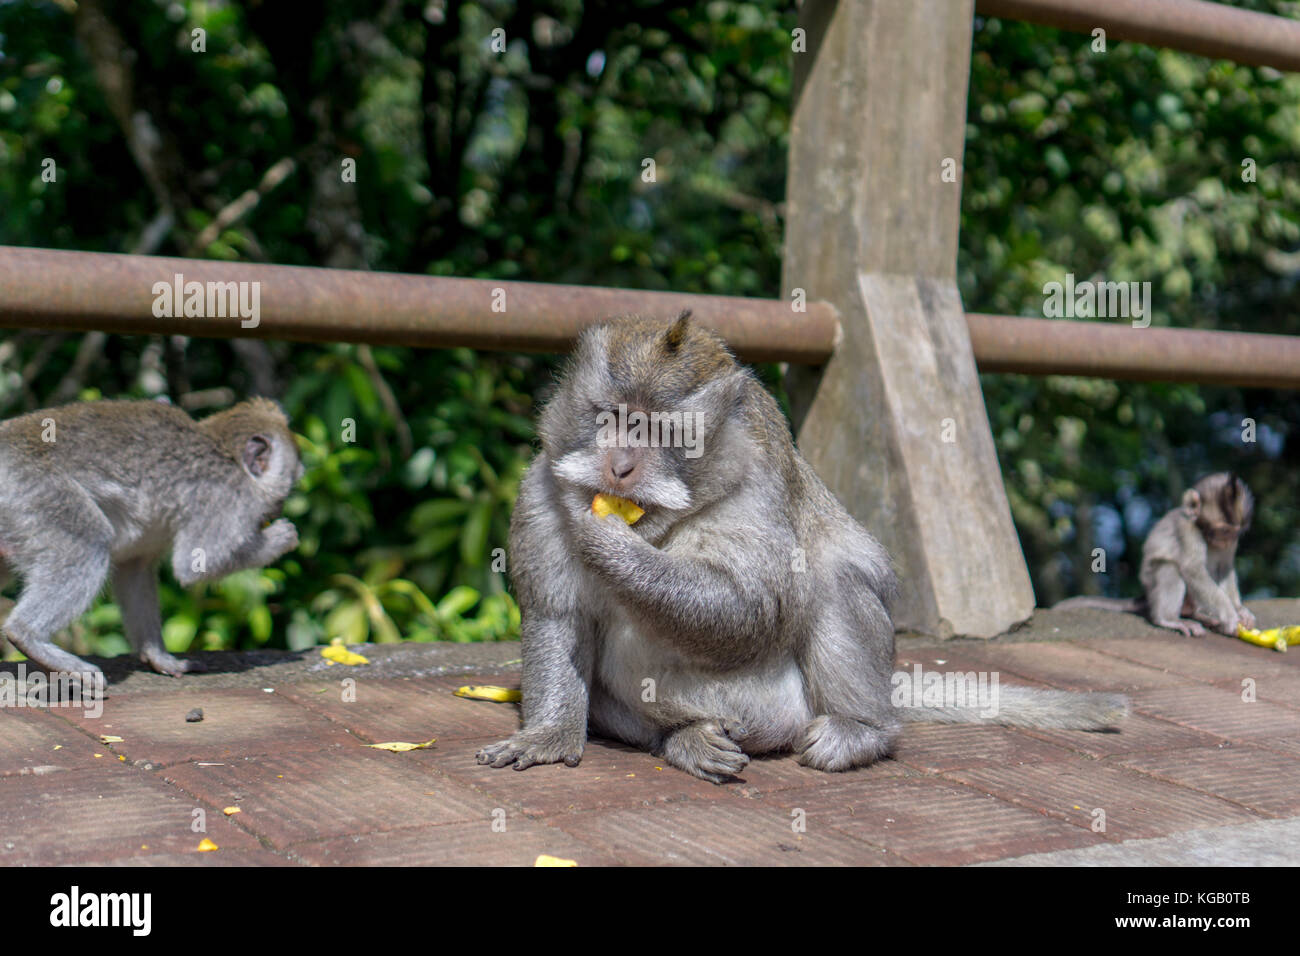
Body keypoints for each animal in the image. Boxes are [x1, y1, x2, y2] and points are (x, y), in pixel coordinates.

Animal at [0, 398, 302, 689]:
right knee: (89, 542)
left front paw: (158, 657)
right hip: (35, 490)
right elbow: (195, 565)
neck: (226, 452)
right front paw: (283, 535)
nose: (280, 507)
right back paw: (28, 636)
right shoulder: (226, 498)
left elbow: (134, 568)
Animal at [477, 313, 1128, 784]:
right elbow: (558, 616)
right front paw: (550, 736)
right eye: (611, 417)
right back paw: (683, 739)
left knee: (835, 578)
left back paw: (862, 731)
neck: (660, 524)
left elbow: (753, 606)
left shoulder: (756, 490)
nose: (619, 466)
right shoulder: (541, 492)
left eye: (659, 430)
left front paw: (610, 547)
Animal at [1054, 472, 1256, 637]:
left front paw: (1239, 609)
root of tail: (1146, 595)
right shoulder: (1186, 528)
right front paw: (1230, 615)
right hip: (1152, 585)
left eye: (1235, 533)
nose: (1226, 541)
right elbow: (1192, 569)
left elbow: (1225, 568)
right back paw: (1169, 620)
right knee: (1170, 568)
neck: (1202, 530)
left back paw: (1199, 615)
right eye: (1222, 530)